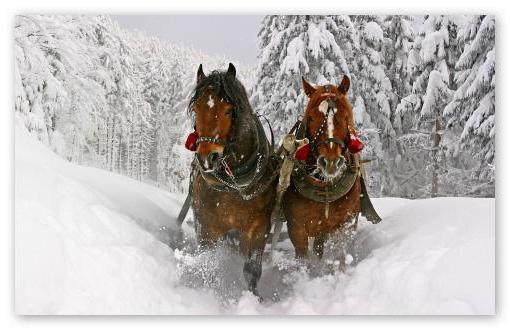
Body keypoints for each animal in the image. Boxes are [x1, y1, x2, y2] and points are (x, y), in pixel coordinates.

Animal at [188, 63, 278, 296]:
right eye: (196, 109)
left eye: (228, 110)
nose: (207, 157)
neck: (233, 186)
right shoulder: (206, 225)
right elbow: (208, 262)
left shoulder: (258, 228)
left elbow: (252, 269)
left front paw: (253, 297)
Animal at [280, 75, 380, 266]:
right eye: (311, 118)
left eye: (346, 116)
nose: (331, 162)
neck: (324, 187)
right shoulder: (296, 229)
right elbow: (304, 260)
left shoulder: (347, 223)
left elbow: (342, 254)